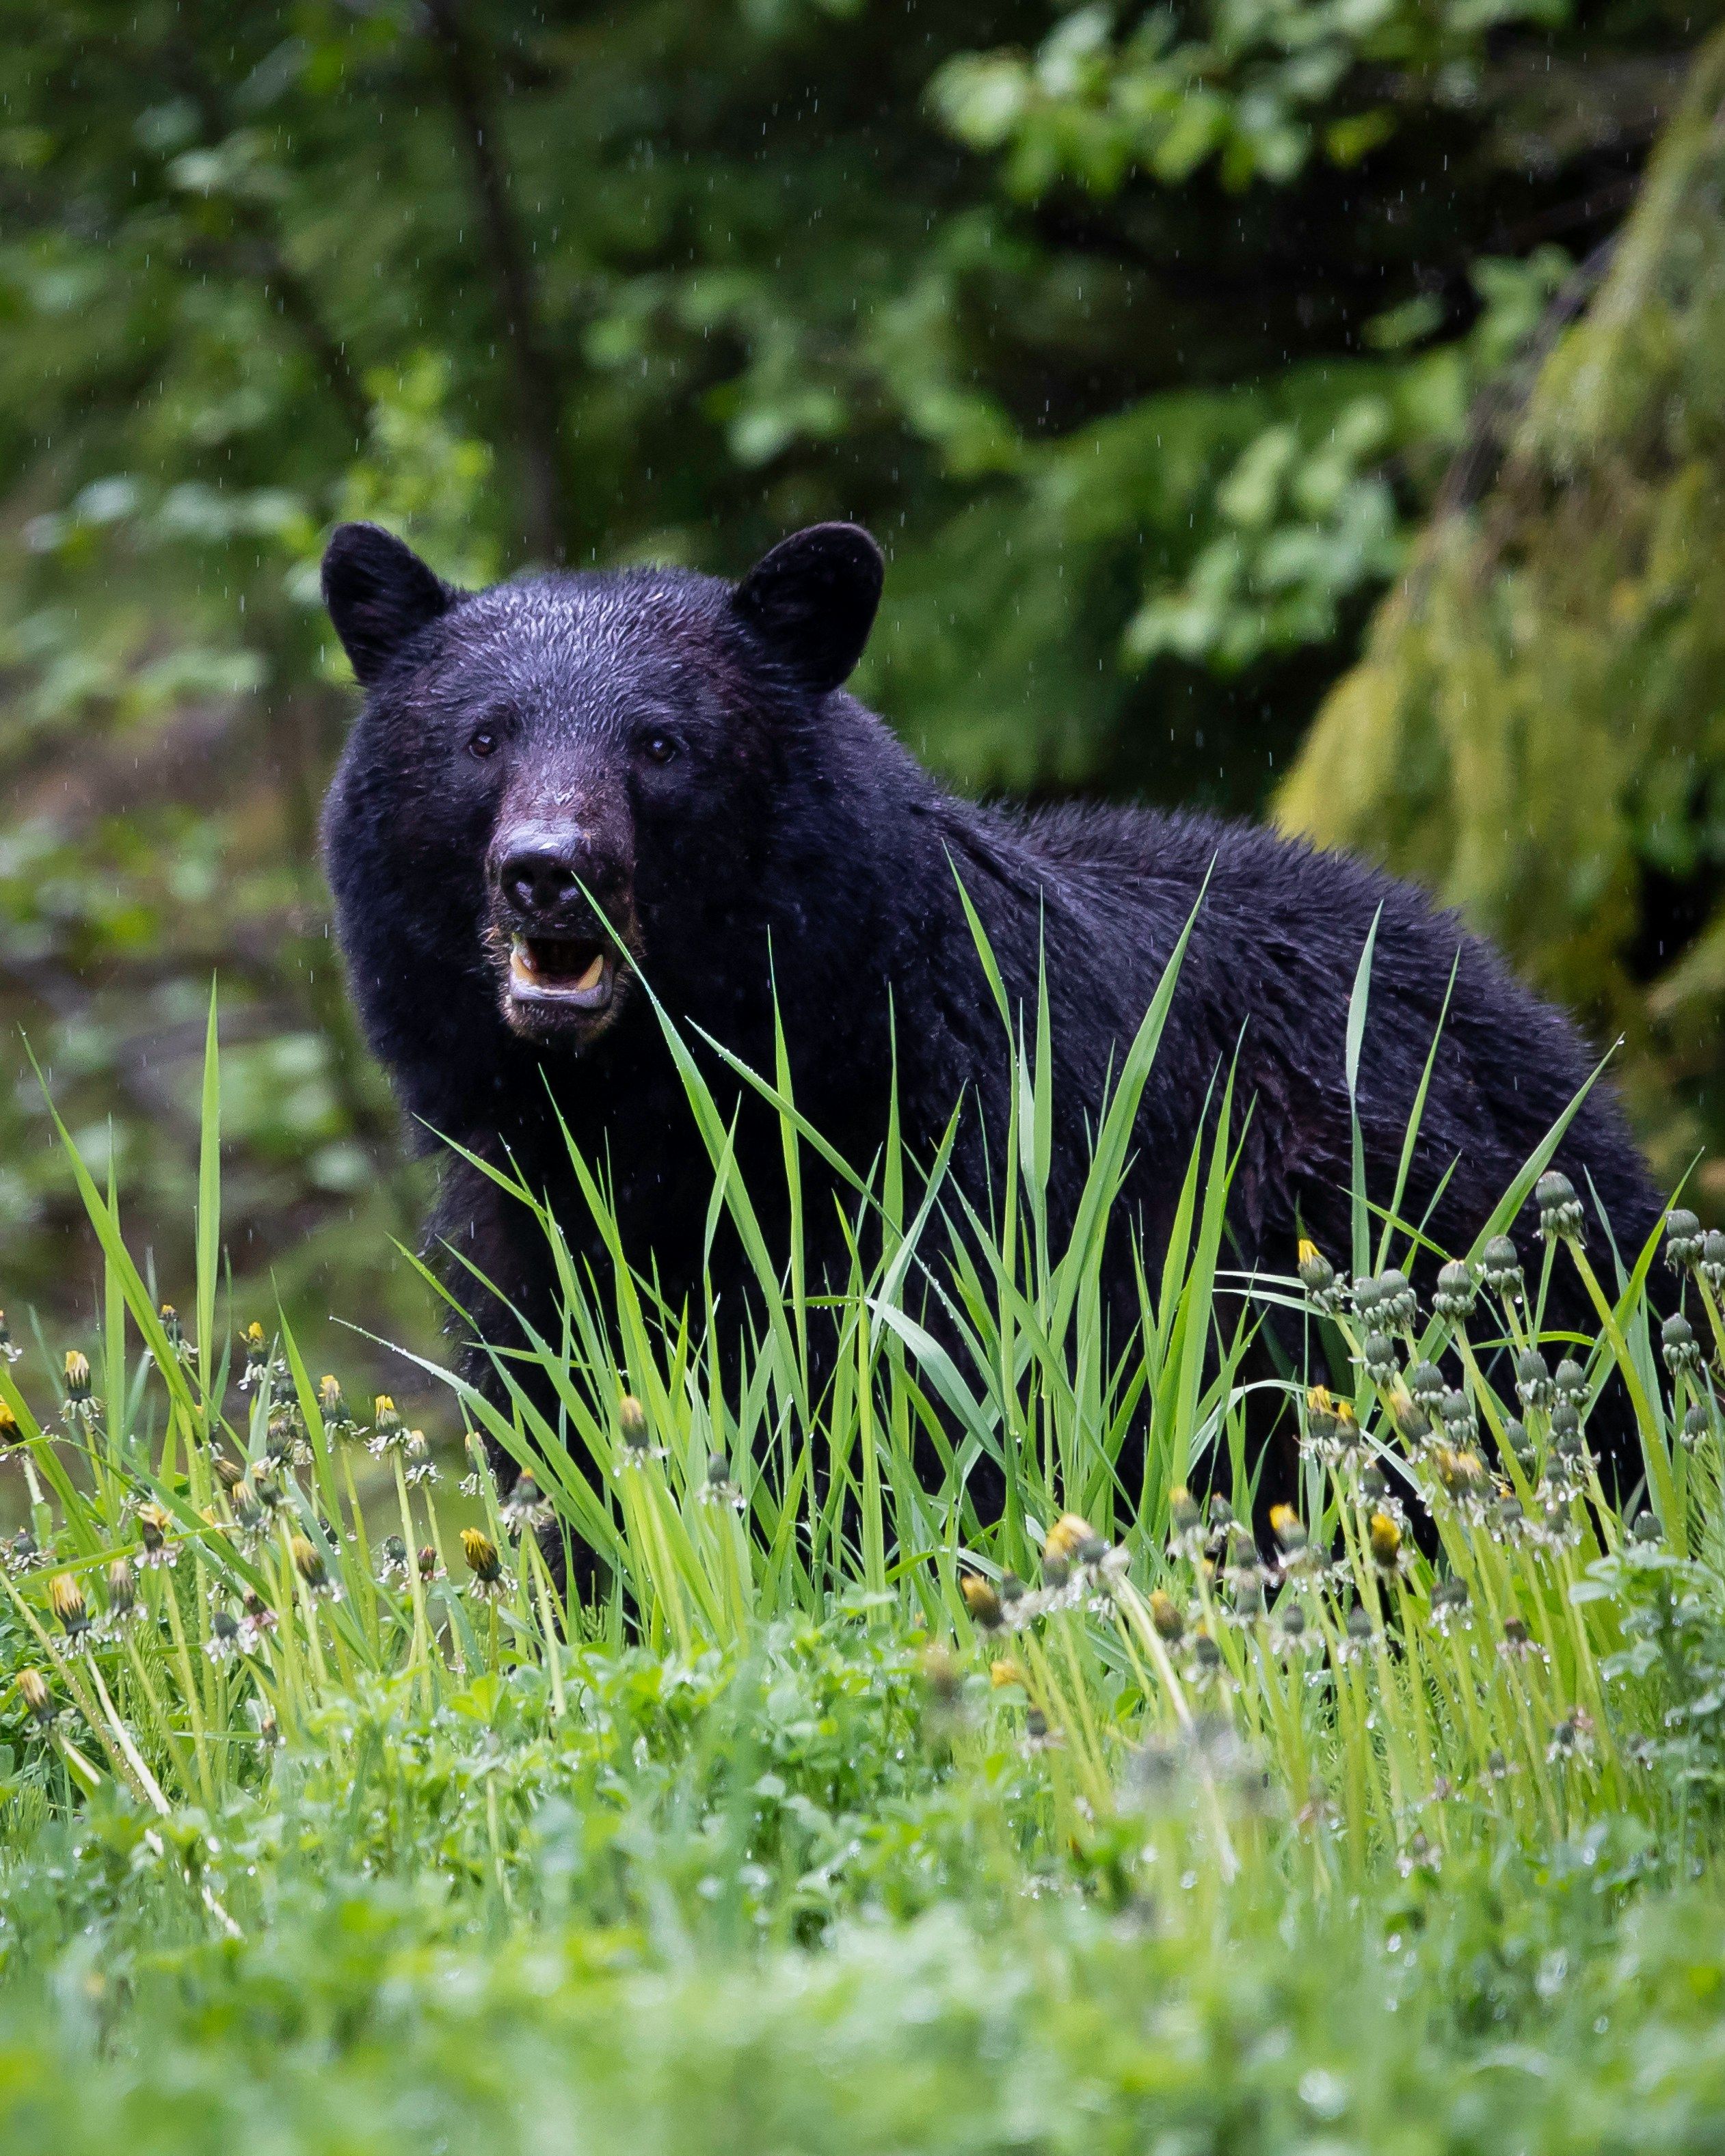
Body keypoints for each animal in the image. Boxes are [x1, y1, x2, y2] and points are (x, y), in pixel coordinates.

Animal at [319, 517, 1665, 1523]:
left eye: (660, 743)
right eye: (480, 737)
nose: (549, 869)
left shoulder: (972, 1178)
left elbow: (915, 1426)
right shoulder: (527, 1233)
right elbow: (574, 1448)